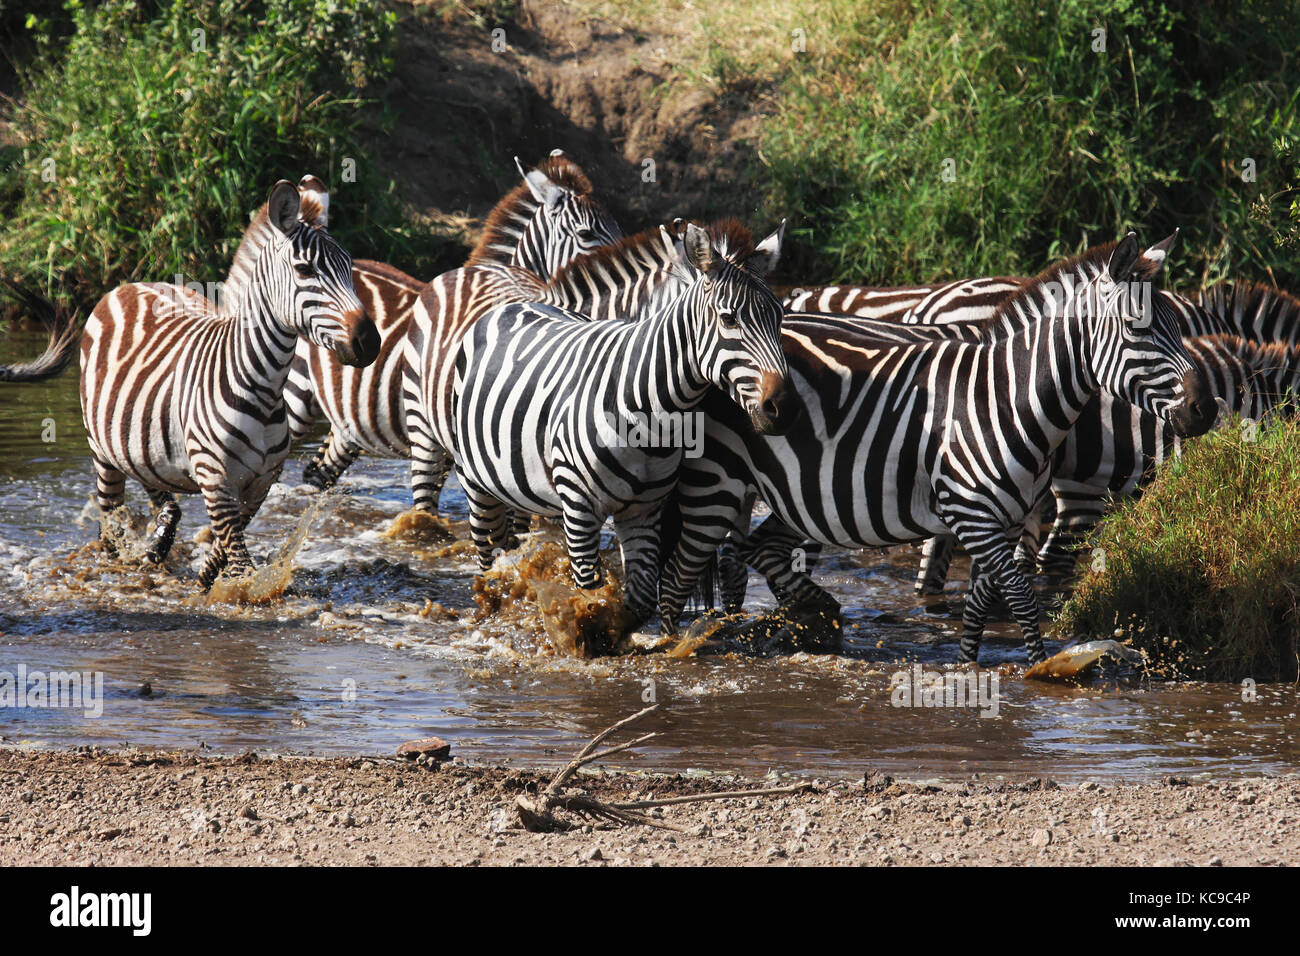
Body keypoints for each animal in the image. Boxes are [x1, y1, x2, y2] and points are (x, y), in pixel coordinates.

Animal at [0, 178, 377, 589]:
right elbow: (239, 561)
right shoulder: (216, 479)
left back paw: (157, 545)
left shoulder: (259, 485)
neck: (263, 386)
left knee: (155, 495)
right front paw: (233, 591)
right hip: (102, 448)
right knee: (111, 518)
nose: (369, 341)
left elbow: (223, 552)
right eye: (305, 269)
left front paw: (202, 583)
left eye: (350, 269)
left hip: (139, 439)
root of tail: (129, 285)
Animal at [451, 220, 792, 628]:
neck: (652, 413)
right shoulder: (580, 505)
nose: (781, 406)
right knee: (489, 556)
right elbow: (589, 596)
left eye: (781, 317)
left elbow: (638, 601)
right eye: (729, 319)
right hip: (475, 481)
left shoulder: (644, 510)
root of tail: (515, 305)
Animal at [658, 233, 1218, 665]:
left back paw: (814, 619)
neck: (1006, 399)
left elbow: (978, 606)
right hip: (717, 484)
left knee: (756, 549)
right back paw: (671, 649)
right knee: (678, 577)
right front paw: (1042, 670)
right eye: (1137, 329)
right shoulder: (972, 513)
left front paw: (969, 667)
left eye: (1179, 327)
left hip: (797, 492)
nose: (1206, 410)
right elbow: (1021, 596)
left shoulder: (1002, 520)